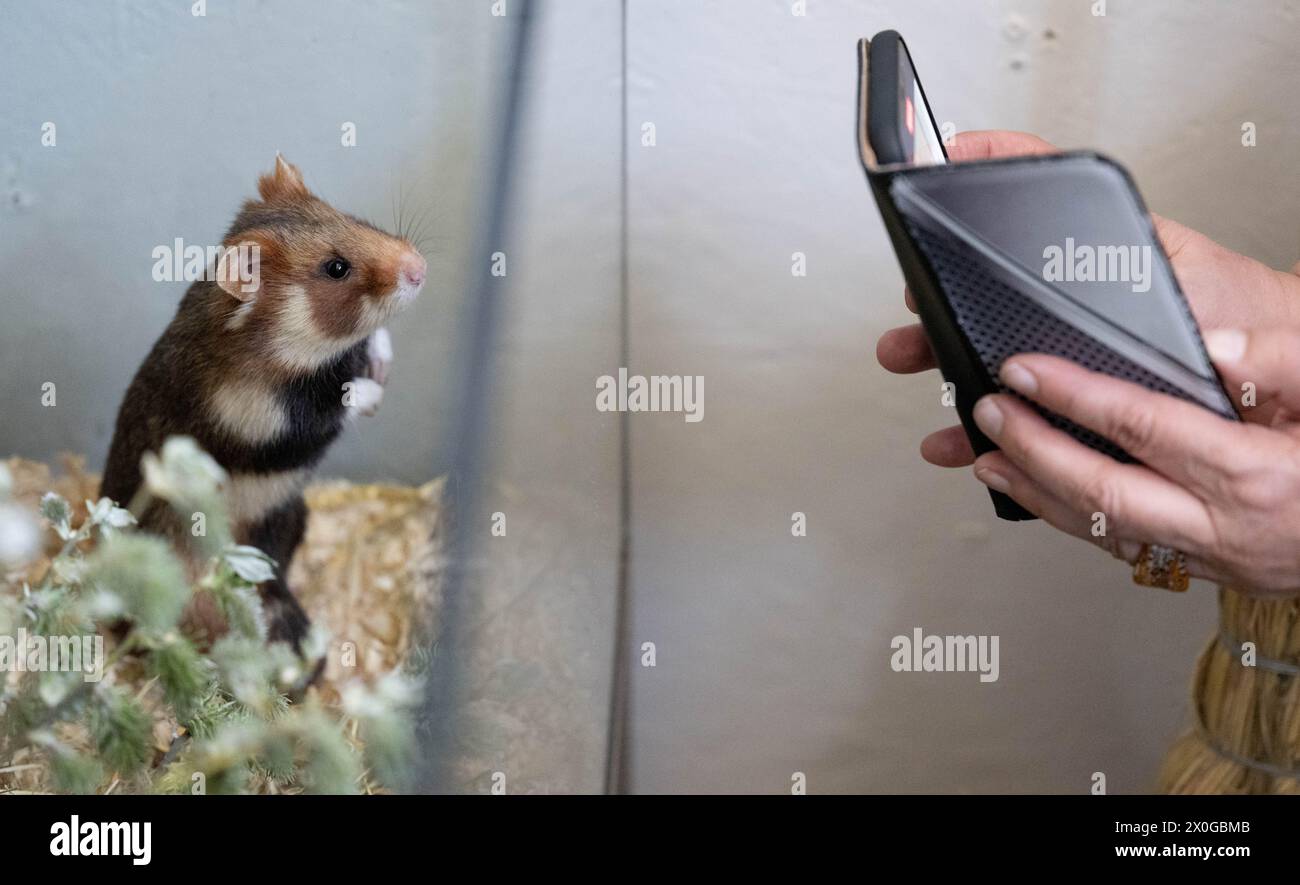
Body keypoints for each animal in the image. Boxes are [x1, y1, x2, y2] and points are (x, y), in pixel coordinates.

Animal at [100, 155, 426, 652]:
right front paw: (375, 394)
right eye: (335, 268)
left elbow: (372, 345)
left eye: (348, 216)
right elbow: (341, 399)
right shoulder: (272, 418)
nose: (422, 268)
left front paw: (381, 360)